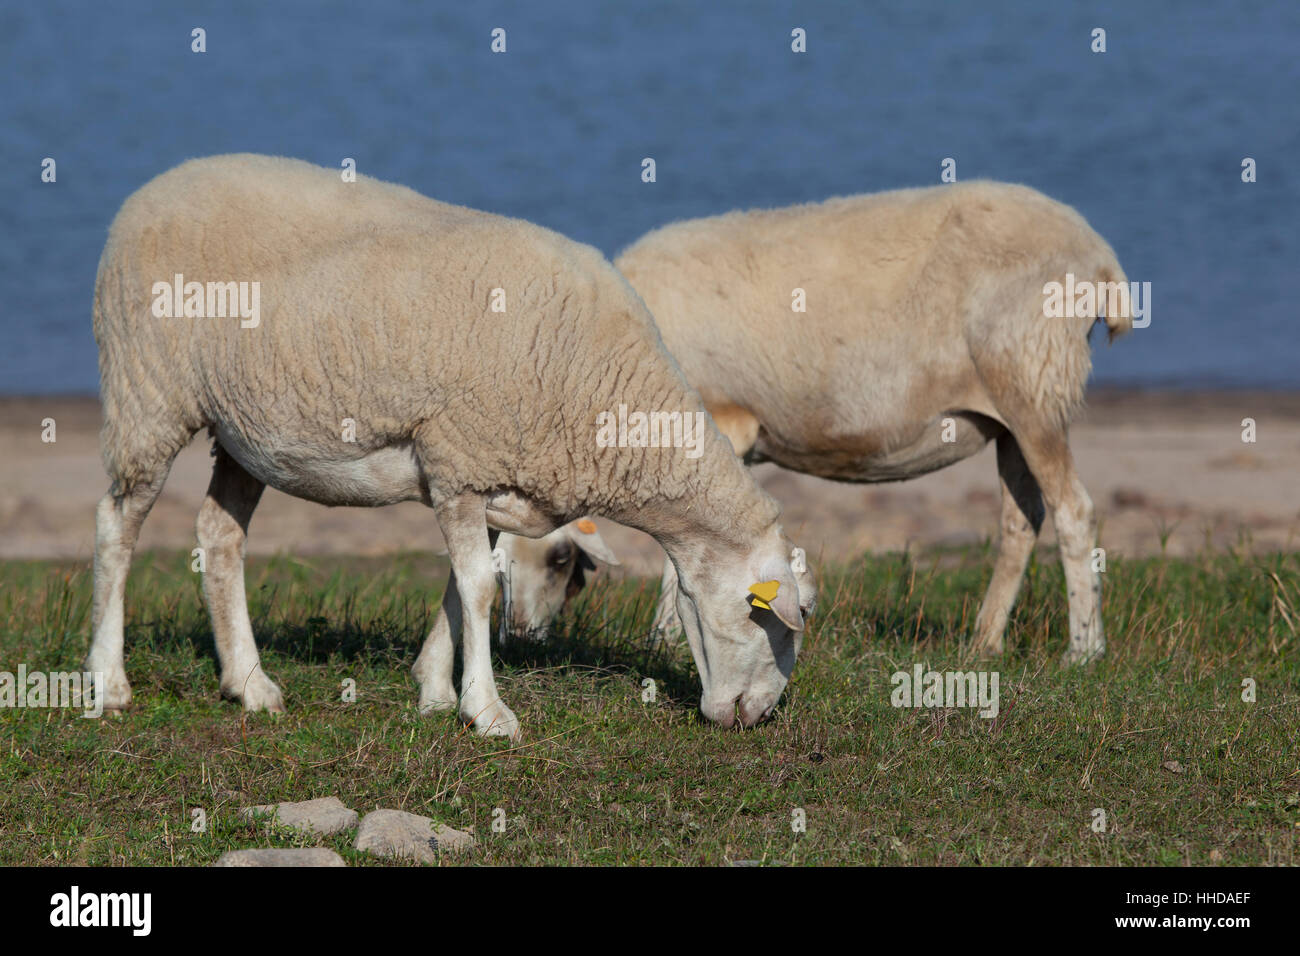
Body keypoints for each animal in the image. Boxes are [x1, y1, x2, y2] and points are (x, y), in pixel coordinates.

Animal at [86, 154, 815, 739]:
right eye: (776, 618)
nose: (755, 717)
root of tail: (155, 187)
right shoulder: (459, 456)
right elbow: (480, 590)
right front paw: (488, 712)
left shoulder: (486, 476)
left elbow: (464, 588)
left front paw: (435, 689)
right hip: (147, 392)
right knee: (117, 526)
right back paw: (108, 682)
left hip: (244, 430)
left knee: (219, 536)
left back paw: (249, 684)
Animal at [614, 181, 1132, 663]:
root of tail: (1100, 258)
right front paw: (666, 638)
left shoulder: (719, 419)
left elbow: (686, 544)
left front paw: (666, 638)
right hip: (1010, 412)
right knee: (1021, 522)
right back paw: (984, 642)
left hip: (1034, 384)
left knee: (1074, 511)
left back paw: (1084, 650)